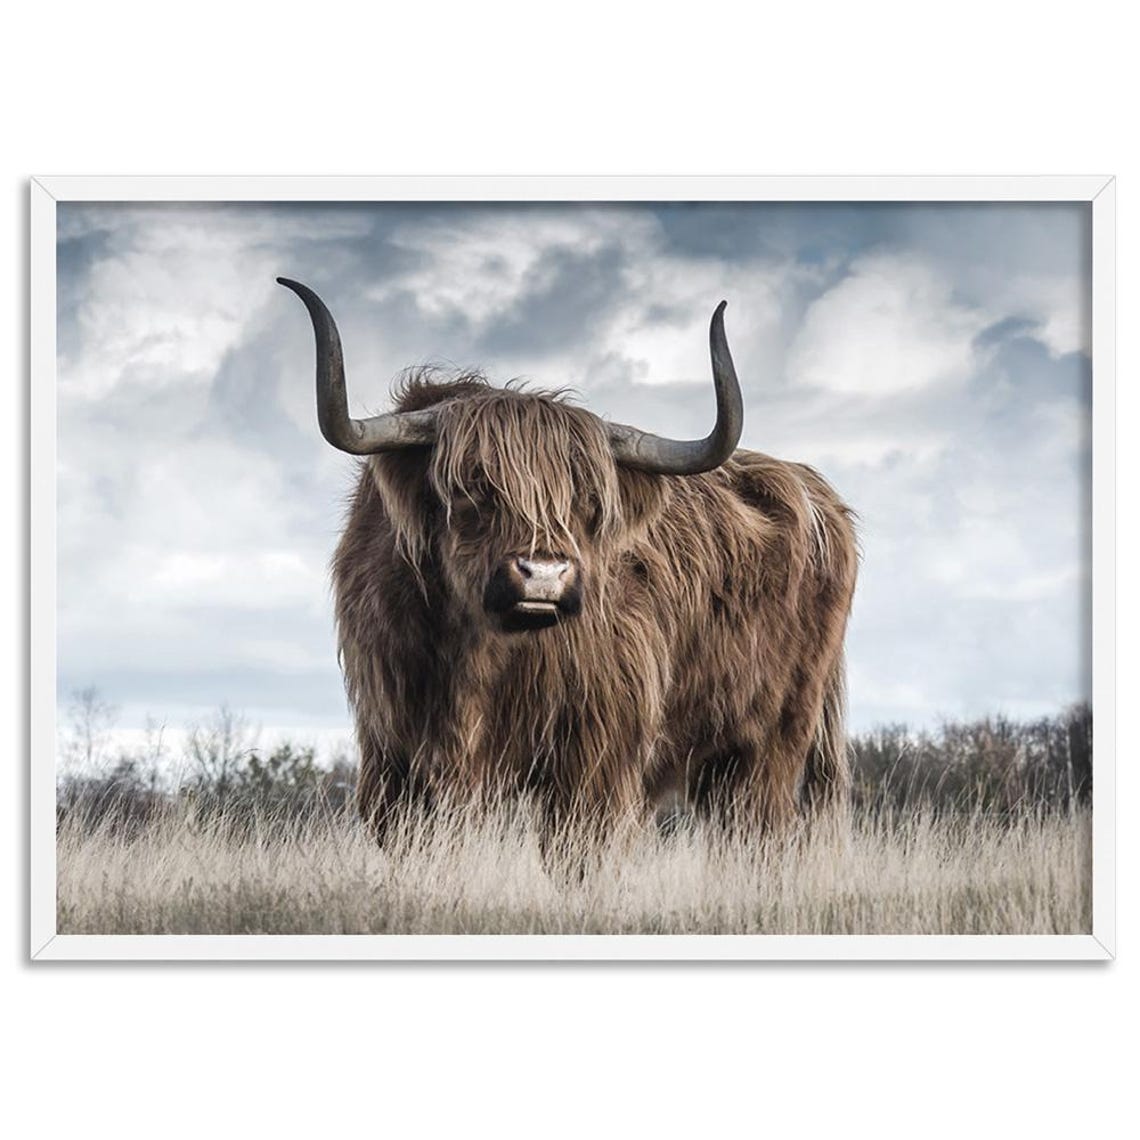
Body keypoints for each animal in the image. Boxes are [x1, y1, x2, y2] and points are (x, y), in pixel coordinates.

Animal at [278, 277, 858, 841]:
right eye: (472, 488)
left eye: (589, 501)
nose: (544, 575)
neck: (476, 658)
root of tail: (816, 491)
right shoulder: (394, 756)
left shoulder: (596, 757)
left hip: (770, 745)